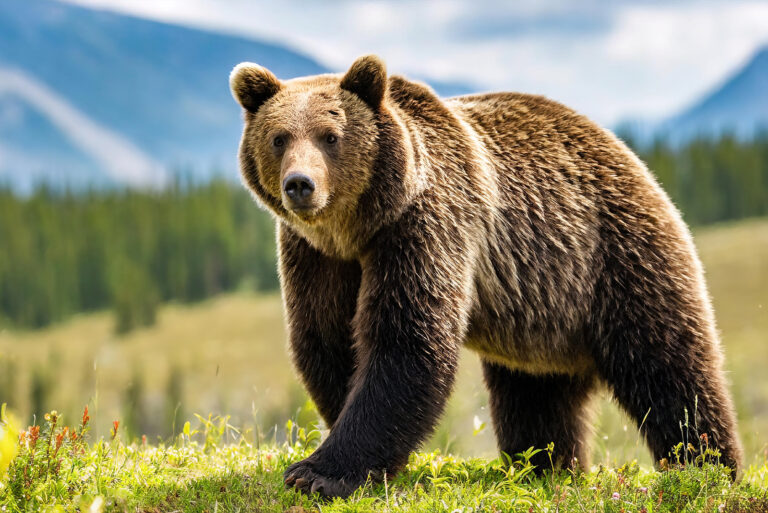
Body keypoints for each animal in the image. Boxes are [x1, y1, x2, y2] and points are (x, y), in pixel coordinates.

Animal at [229, 55, 742, 498]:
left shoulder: (427, 223)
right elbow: (326, 337)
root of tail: (629, 156)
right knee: (536, 398)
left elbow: (407, 341)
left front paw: (318, 473)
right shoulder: (315, 254)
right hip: (542, 313)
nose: (300, 185)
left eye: (330, 135)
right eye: (279, 137)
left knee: (671, 369)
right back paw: (548, 467)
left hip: (617, 257)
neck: (358, 227)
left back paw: (708, 469)